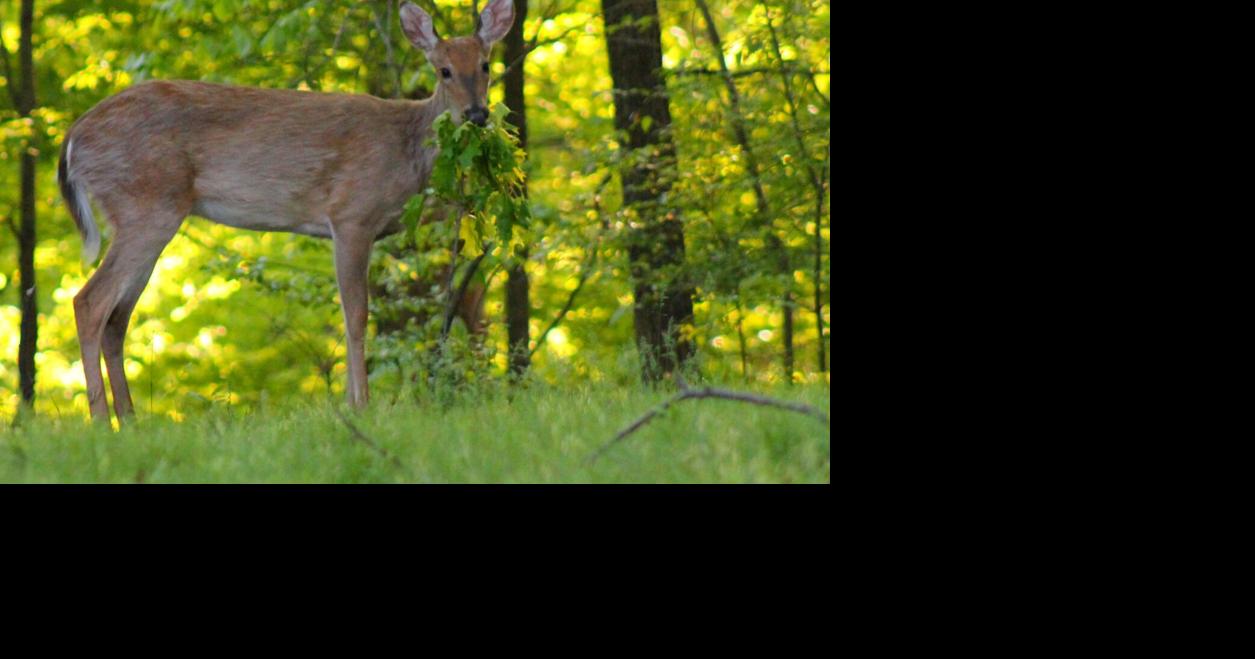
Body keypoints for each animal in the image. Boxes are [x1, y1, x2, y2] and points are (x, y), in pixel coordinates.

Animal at [57, 0, 515, 424]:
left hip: (148, 214)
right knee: (89, 302)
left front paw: (350, 403)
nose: (477, 113)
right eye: (444, 71)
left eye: (486, 65)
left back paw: (130, 420)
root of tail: (74, 140)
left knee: (117, 319)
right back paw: (100, 421)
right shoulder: (352, 213)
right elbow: (356, 314)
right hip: (146, 203)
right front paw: (361, 406)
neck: (406, 147)